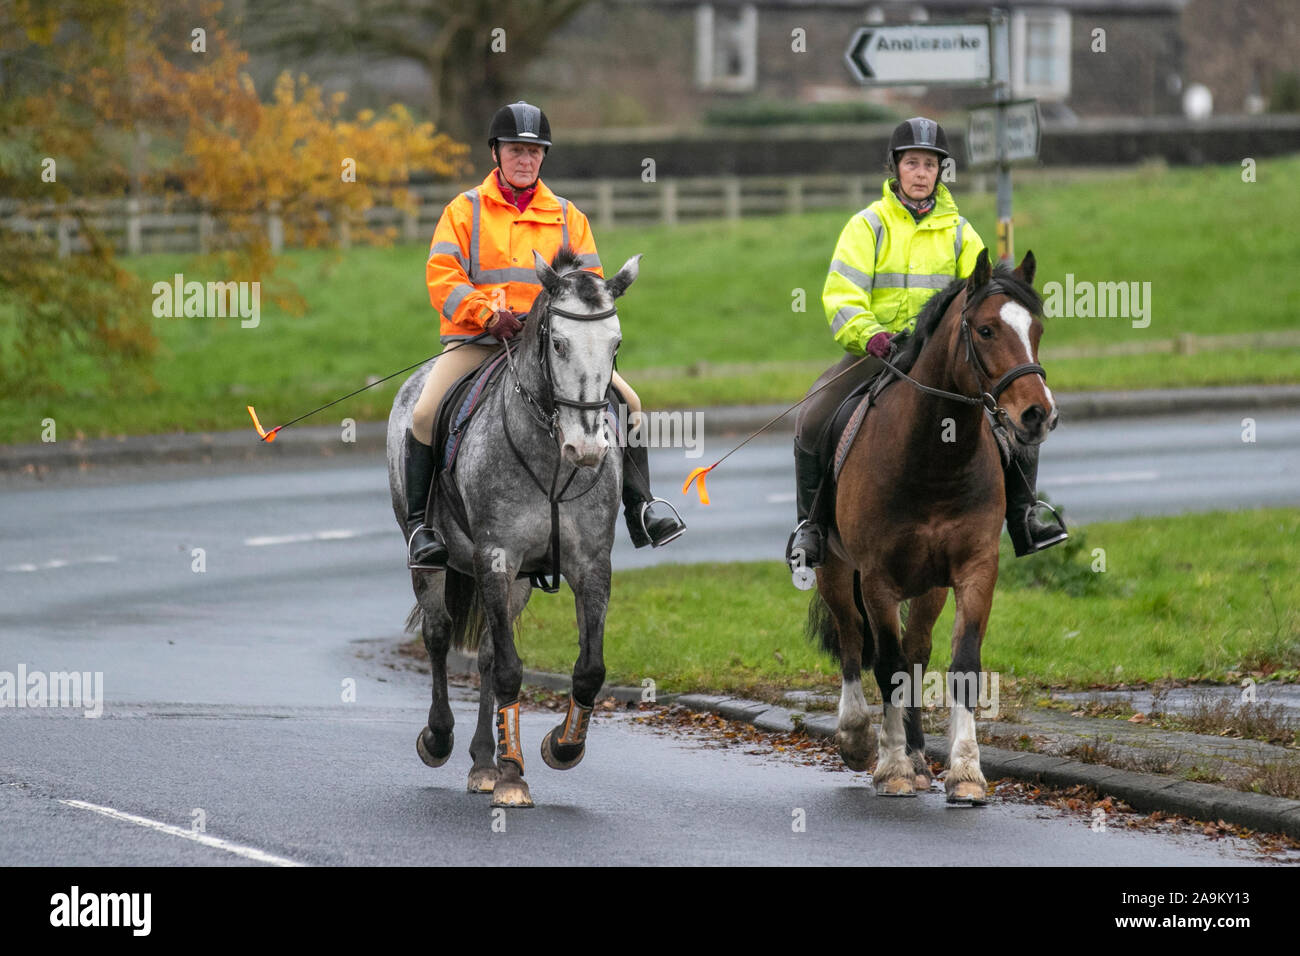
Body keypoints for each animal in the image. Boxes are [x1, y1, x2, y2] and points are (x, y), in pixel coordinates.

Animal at [387, 246, 641, 809]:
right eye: (559, 343)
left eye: (615, 344)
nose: (586, 449)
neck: (552, 456)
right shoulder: (496, 557)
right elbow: (509, 667)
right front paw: (512, 777)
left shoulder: (590, 563)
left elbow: (588, 669)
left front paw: (560, 748)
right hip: (433, 561)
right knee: (439, 635)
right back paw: (441, 739)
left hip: (521, 581)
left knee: (483, 654)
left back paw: (485, 761)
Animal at [807, 248, 1055, 804]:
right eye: (985, 330)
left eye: (1037, 328)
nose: (1037, 414)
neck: (934, 457)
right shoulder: (877, 579)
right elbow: (887, 666)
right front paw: (890, 765)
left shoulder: (975, 570)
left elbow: (960, 666)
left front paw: (964, 772)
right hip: (837, 570)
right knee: (853, 640)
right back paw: (859, 738)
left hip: (928, 586)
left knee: (916, 650)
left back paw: (920, 756)